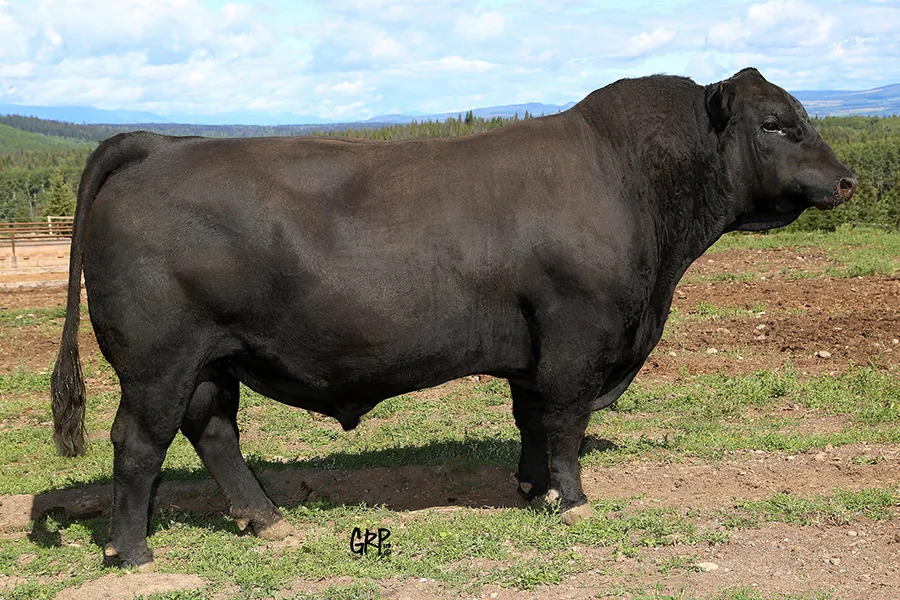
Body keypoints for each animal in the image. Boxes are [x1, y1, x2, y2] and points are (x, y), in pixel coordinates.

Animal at [51, 68, 855, 567]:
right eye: (777, 123)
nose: (847, 179)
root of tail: (157, 144)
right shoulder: (578, 335)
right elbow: (565, 418)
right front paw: (573, 501)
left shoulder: (536, 347)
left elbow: (532, 419)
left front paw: (533, 489)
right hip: (158, 361)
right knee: (139, 443)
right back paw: (133, 551)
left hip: (214, 358)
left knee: (213, 430)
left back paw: (268, 521)